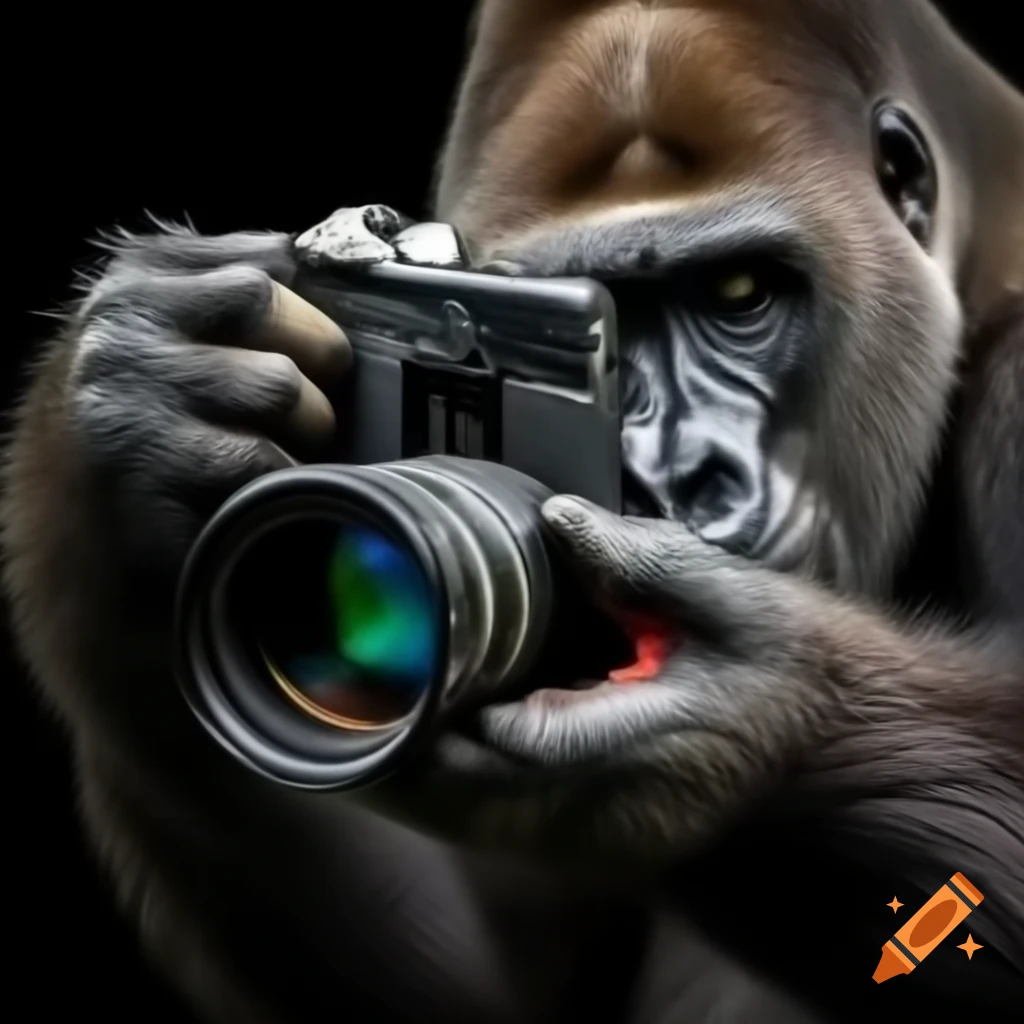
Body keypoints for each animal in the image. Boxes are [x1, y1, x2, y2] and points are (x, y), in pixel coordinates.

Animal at [3, 1, 1023, 1022]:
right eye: (621, 320)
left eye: (741, 294)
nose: (674, 477)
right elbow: (493, 990)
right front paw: (125, 442)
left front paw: (758, 712)